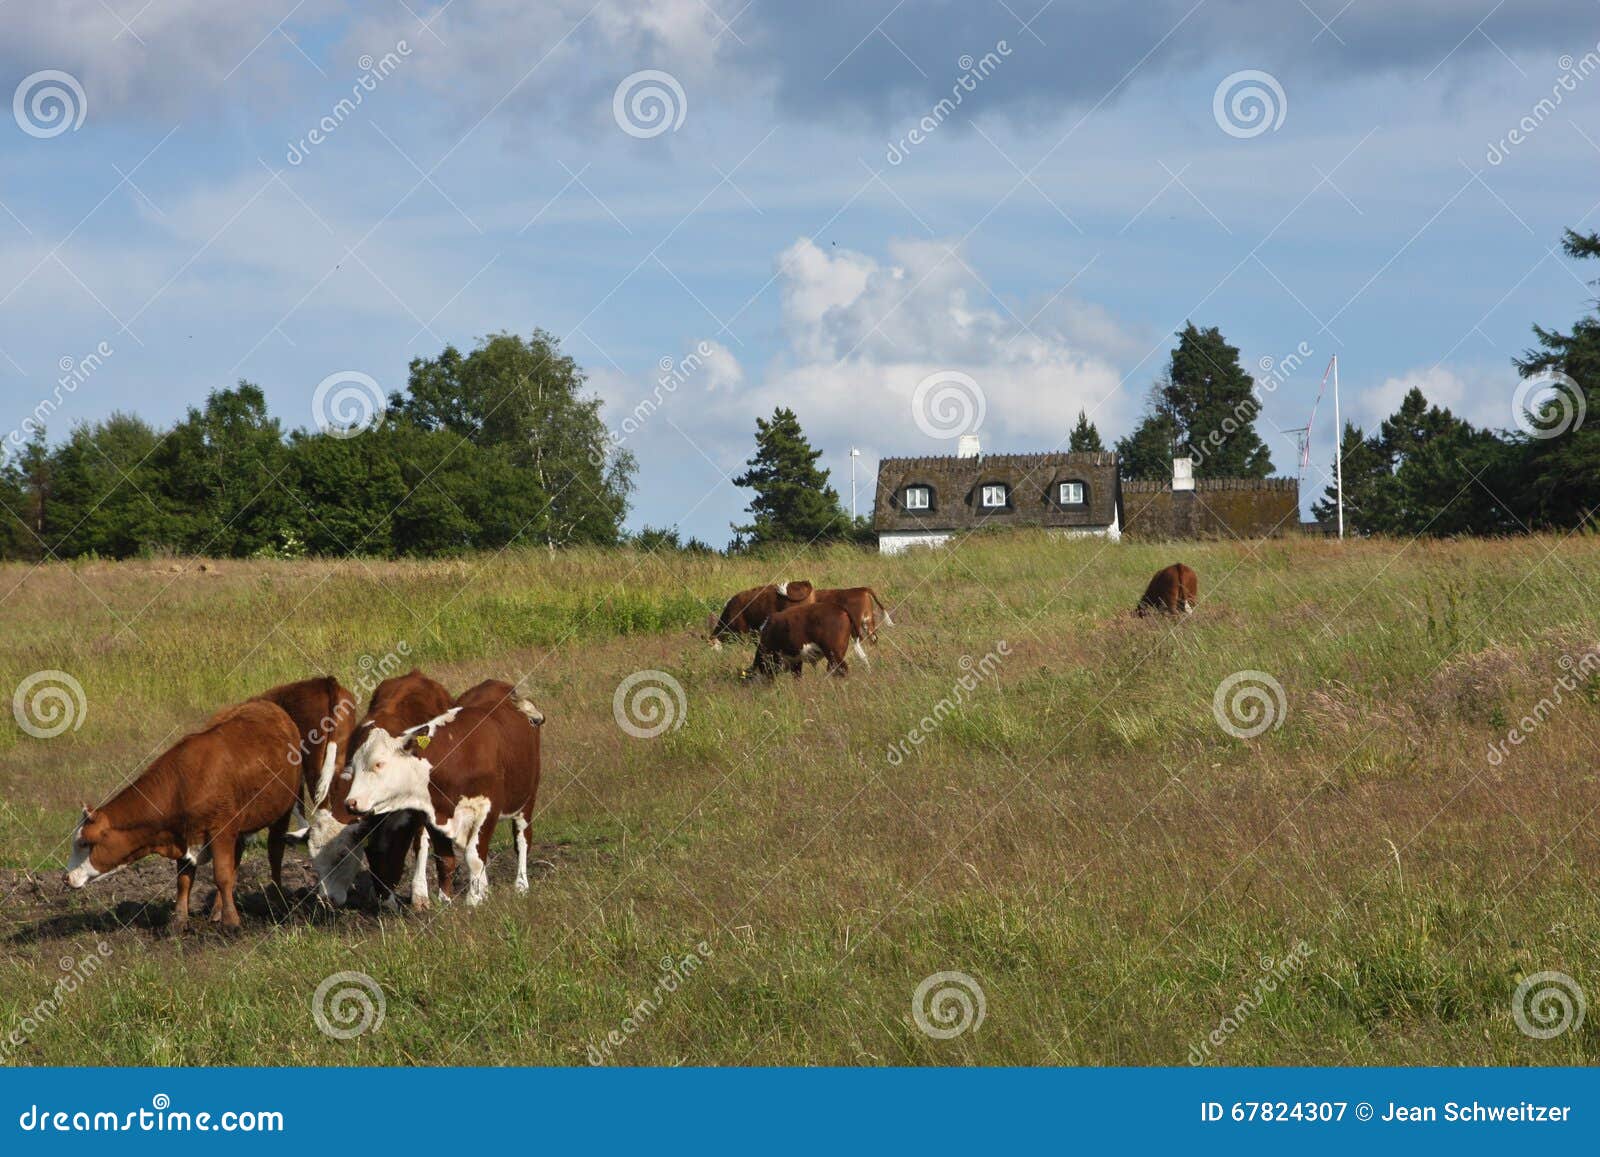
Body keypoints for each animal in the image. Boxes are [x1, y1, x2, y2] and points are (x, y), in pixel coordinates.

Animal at [65, 700, 300, 931]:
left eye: (84, 843)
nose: (66, 878)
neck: (183, 784)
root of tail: (267, 705)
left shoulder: (221, 830)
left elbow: (222, 875)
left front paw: (232, 923)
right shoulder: (183, 836)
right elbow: (184, 881)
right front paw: (179, 921)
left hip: (284, 810)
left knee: (275, 853)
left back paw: (276, 901)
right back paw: (217, 911)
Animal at [295, 668, 453, 908]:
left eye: (342, 854)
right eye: (313, 859)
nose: (327, 900)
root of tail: (416, 675)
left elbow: (411, 845)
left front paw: (413, 896)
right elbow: (375, 850)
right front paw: (383, 896)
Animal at [343, 694, 542, 907]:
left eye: (379, 764)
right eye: (354, 766)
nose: (351, 802)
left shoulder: (489, 809)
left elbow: (474, 857)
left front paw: (473, 900)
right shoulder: (434, 814)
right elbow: (445, 861)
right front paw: (446, 901)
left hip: (527, 800)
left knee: (522, 840)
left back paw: (521, 886)